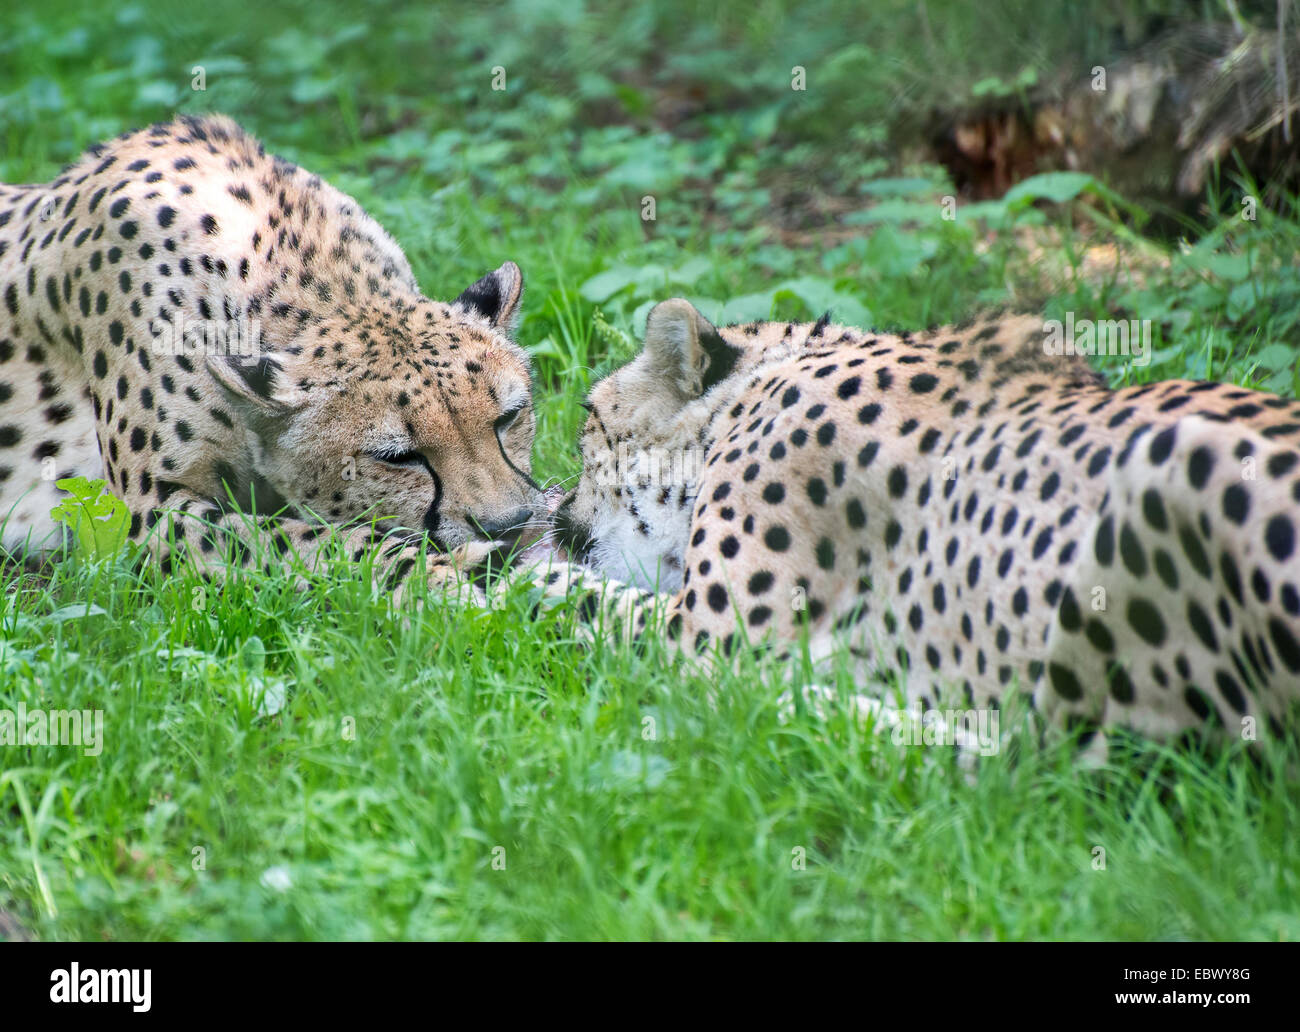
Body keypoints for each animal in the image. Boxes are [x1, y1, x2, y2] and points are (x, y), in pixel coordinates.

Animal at [0, 114, 543, 598]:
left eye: (509, 417)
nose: (507, 525)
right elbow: (299, 541)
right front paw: (451, 577)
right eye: (398, 458)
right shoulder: (140, 512)